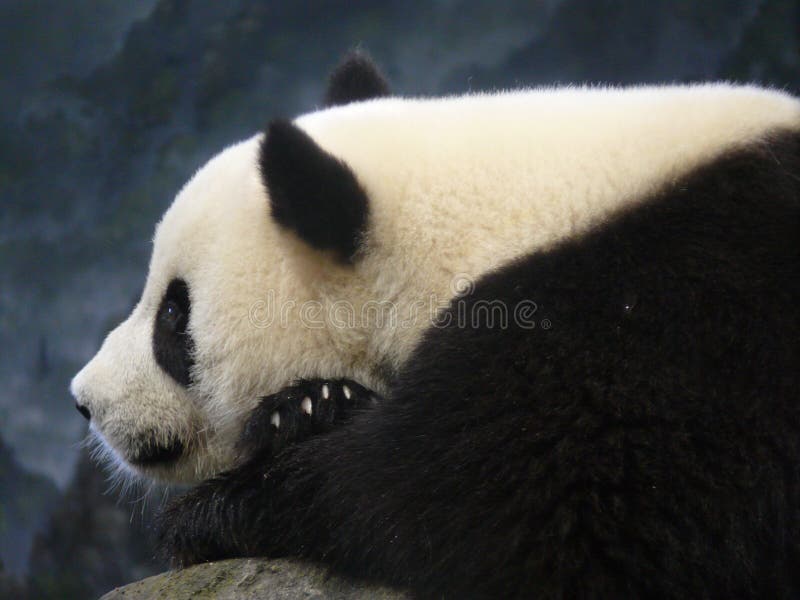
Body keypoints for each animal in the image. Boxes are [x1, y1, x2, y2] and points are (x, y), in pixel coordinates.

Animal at [71, 51, 800, 598]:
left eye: (174, 318)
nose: (84, 399)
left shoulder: (657, 326)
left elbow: (493, 514)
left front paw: (215, 509)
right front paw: (311, 407)